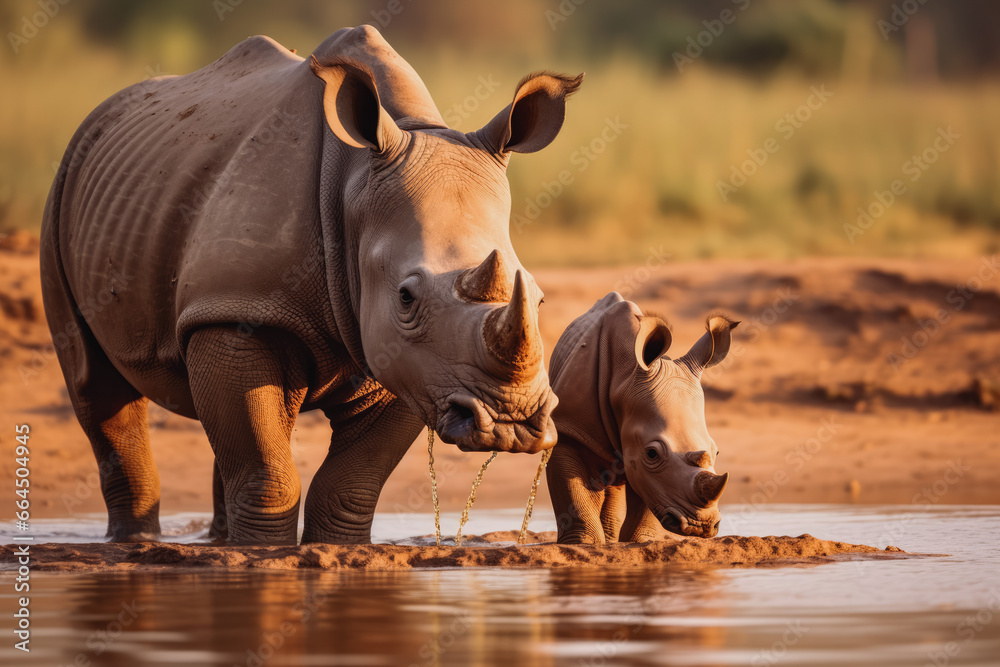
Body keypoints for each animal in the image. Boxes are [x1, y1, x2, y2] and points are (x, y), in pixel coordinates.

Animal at [40, 26, 581, 544]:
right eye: (406, 298)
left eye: (538, 299)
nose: (511, 422)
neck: (355, 184)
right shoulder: (247, 308)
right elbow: (268, 476)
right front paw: (263, 557)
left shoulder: (414, 365)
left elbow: (350, 484)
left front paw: (336, 549)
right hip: (65, 185)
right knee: (97, 386)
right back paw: (134, 542)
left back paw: (216, 542)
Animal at [545, 293, 735, 543]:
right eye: (652, 453)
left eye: (717, 452)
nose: (700, 526)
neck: (625, 376)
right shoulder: (570, 429)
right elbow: (574, 495)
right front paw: (582, 543)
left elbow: (648, 496)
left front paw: (640, 542)